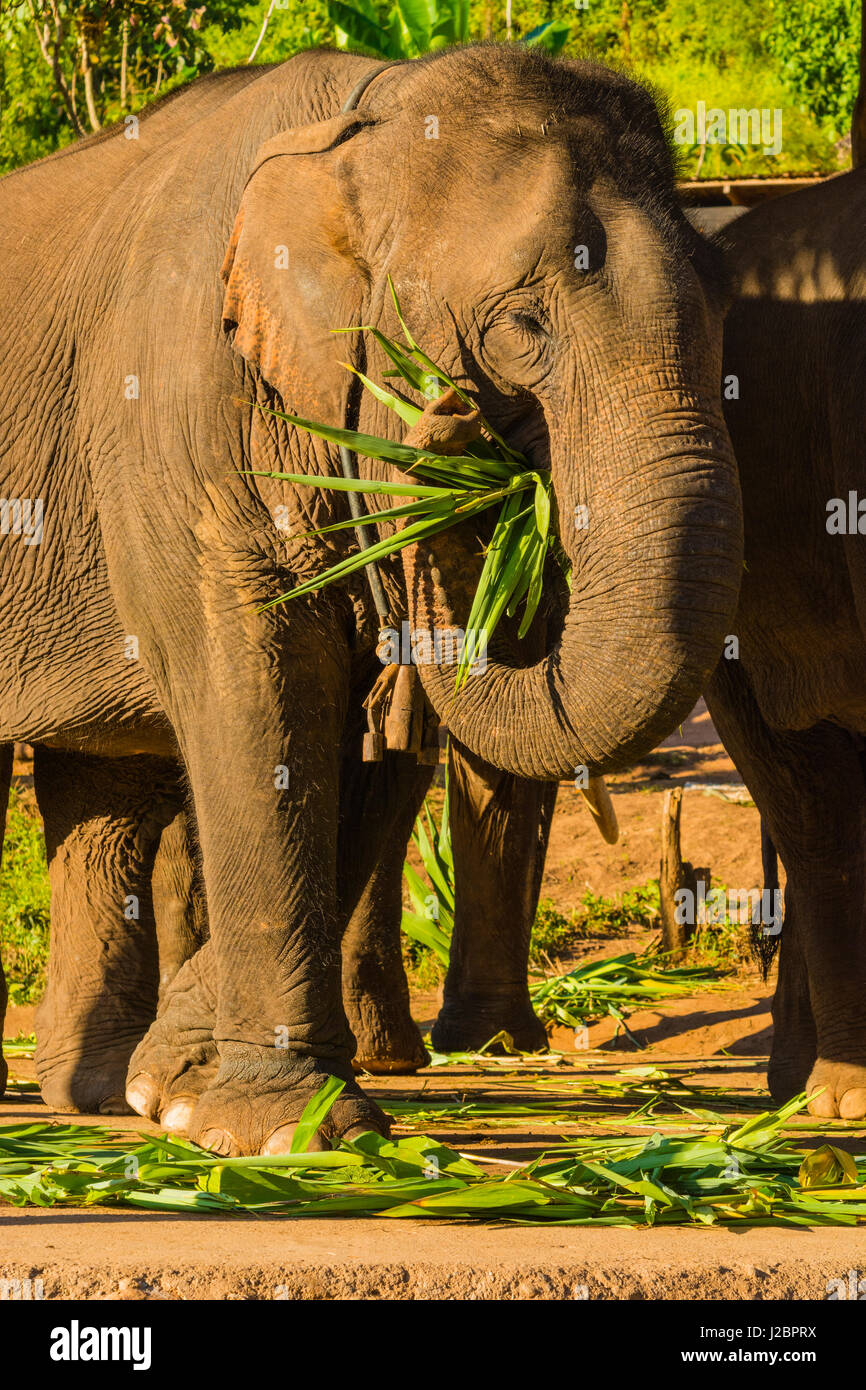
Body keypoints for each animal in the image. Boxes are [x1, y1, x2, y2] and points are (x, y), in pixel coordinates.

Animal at [0, 44, 742, 1154]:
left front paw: (177, 1087)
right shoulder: (178, 414)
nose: (446, 426)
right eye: (520, 324)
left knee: (101, 791)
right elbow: (261, 701)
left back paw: (92, 1089)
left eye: (726, 307)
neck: (367, 118)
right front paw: (288, 1127)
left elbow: (354, 744)